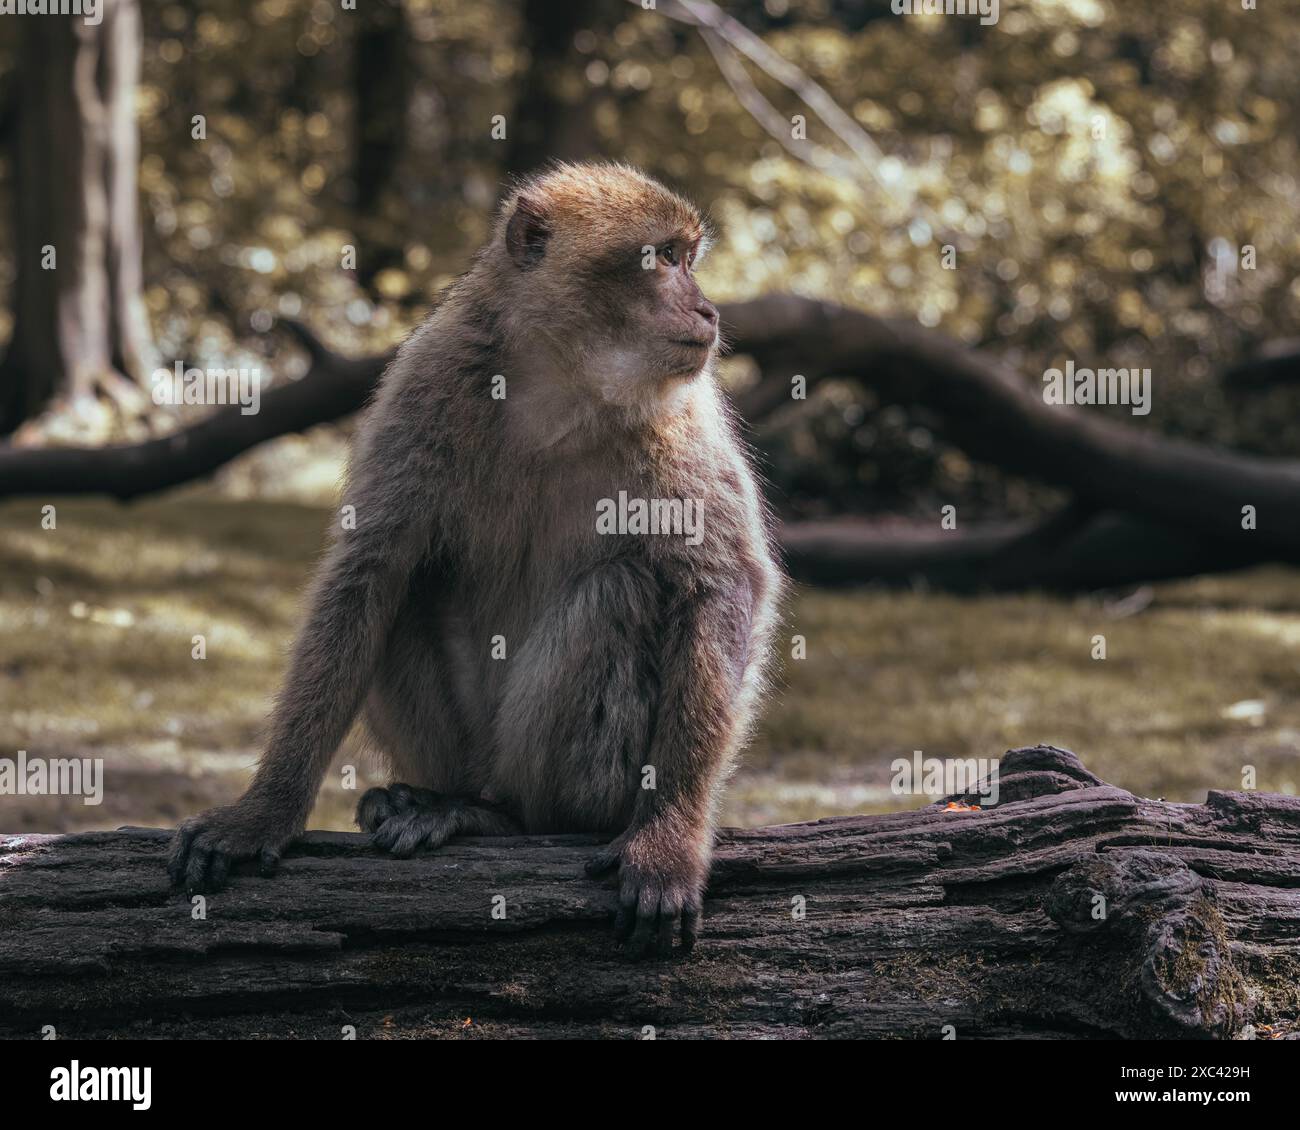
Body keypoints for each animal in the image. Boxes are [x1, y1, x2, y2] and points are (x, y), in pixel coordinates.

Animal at [168, 162, 785, 957]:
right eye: (663, 259)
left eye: (686, 257)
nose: (707, 310)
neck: (561, 384)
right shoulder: (428, 379)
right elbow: (368, 572)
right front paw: (265, 810)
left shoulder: (684, 415)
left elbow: (720, 587)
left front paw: (671, 837)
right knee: (406, 595)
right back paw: (447, 800)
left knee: (620, 592)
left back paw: (509, 816)